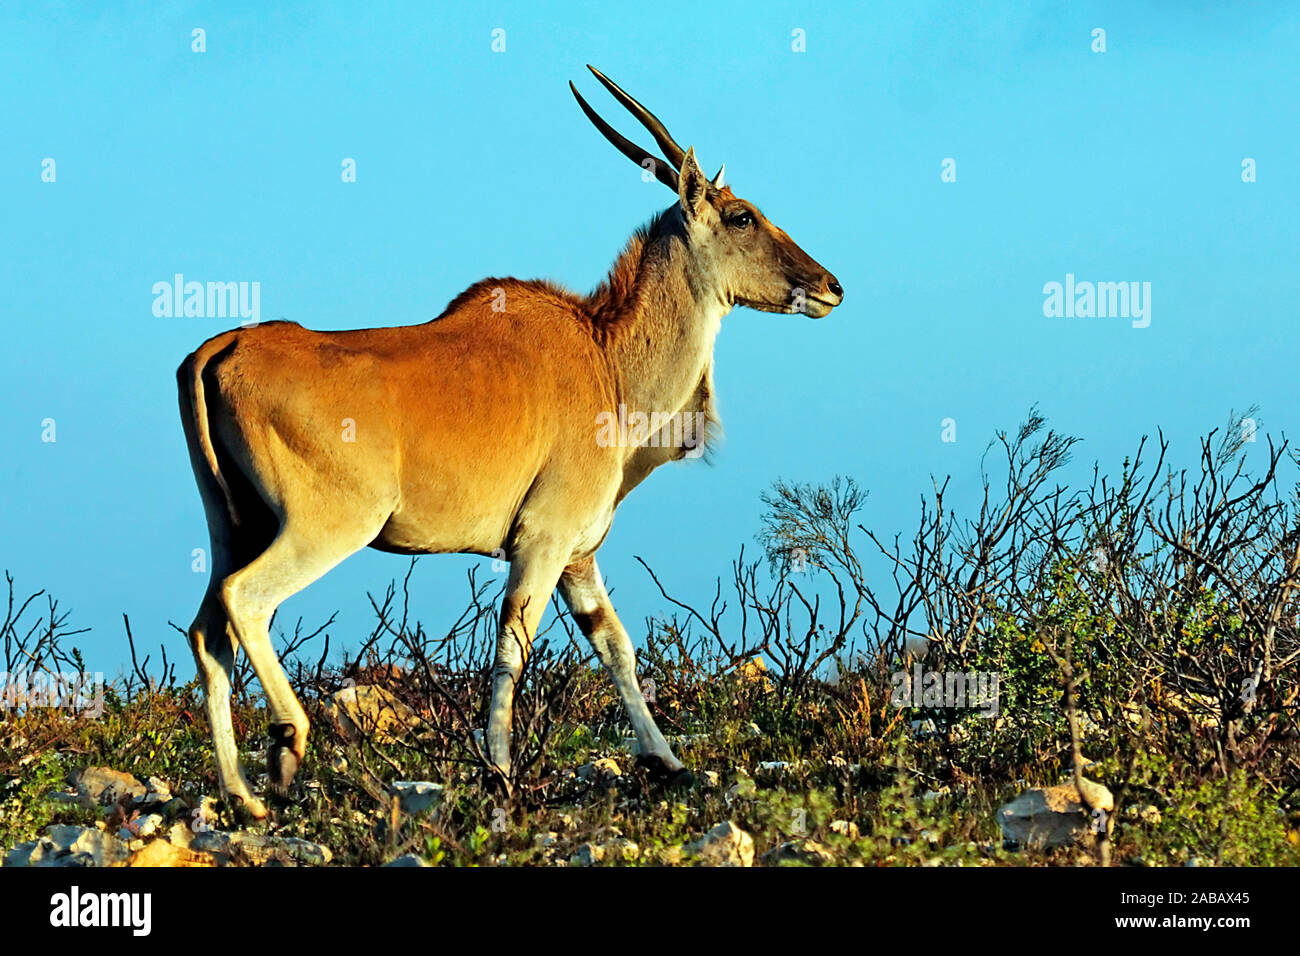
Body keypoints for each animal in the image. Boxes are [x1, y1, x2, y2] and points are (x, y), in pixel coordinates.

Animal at [178, 66, 843, 818]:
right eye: (742, 217)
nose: (829, 285)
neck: (605, 357)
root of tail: (220, 346)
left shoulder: (579, 556)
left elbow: (614, 645)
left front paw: (668, 761)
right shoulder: (541, 542)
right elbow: (512, 648)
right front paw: (498, 770)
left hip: (234, 526)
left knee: (208, 631)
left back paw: (240, 796)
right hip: (326, 527)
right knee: (246, 601)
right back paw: (288, 744)